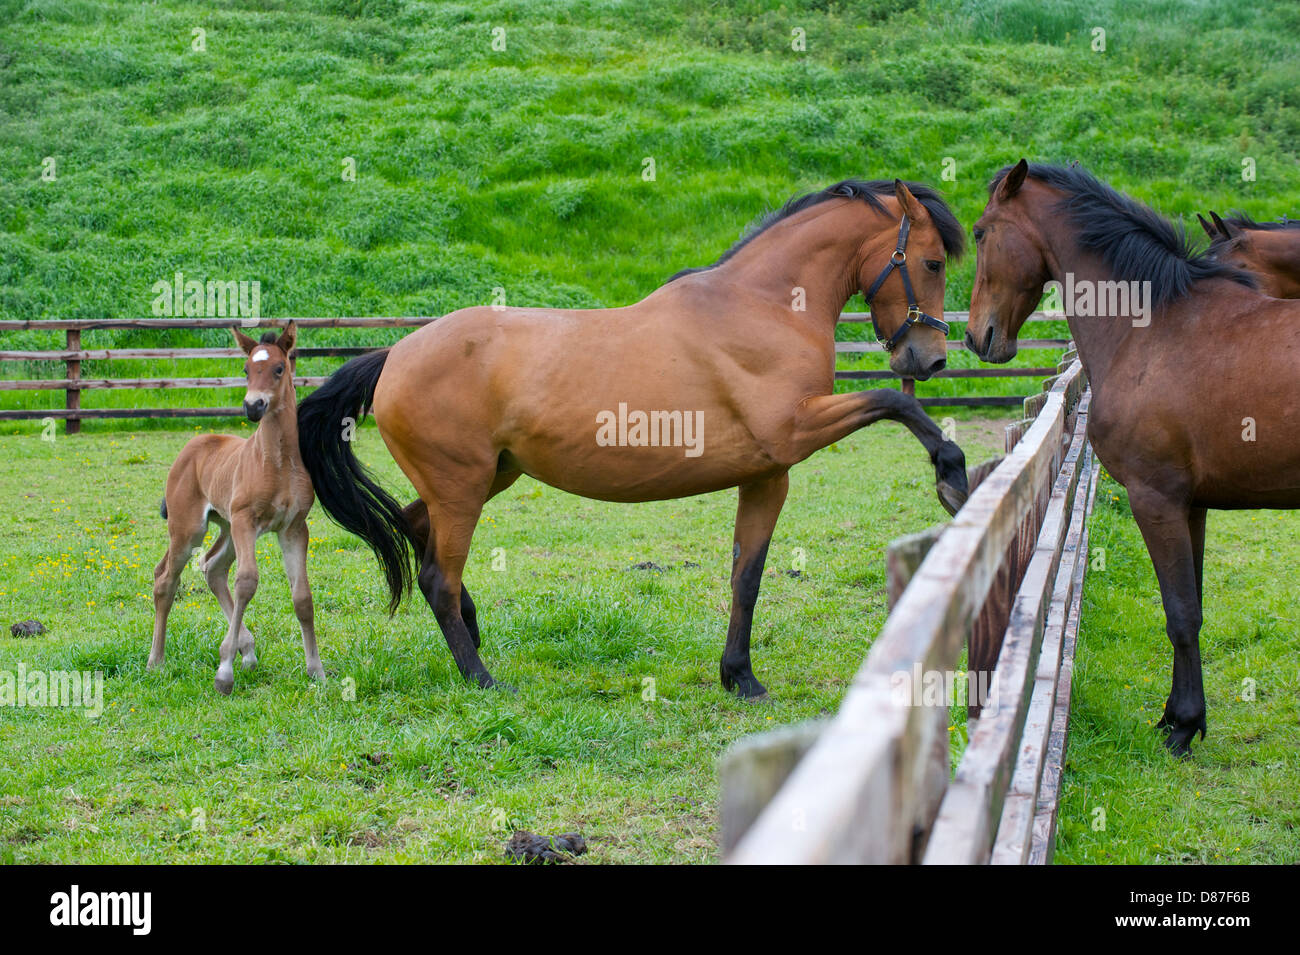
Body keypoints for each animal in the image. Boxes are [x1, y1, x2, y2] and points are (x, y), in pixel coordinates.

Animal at [150, 323, 323, 695]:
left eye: (279, 368)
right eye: (245, 370)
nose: (252, 406)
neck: (277, 462)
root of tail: (193, 445)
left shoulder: (293, 528)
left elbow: (302, 597)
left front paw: (316, 670)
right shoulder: (246, 520)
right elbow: (247, 582)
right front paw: (224, 673)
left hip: (227, 527)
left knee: (213, 568)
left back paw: (247, 650)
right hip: (189, 529)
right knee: (166, 579)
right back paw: (156, 661)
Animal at [298, 178, 970, 698]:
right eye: (933, 263)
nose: (931, 359)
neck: (763, 306)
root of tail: (393, 355)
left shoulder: (766, 475)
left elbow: (746, 577)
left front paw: (740, 677)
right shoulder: (797, 429)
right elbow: (893, 402)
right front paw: (952, 479)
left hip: (488, 476)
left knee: (419, 533)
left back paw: (475, 634)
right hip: (463, 486)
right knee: (439, 575)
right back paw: (483, 678)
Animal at [965, 159, 1300, 756]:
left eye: (981, 233)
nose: (977, 336)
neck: (1154, 329)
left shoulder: (1155, 500)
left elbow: (1181, 614)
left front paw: (1184, 726)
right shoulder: (1192, 506)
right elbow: (1193, 603)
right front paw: (1174, 716)